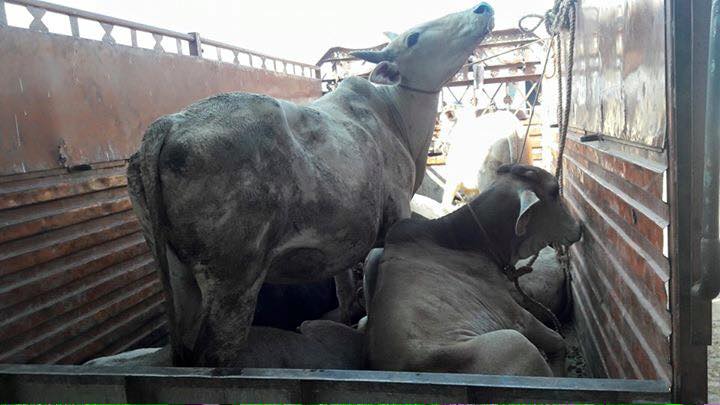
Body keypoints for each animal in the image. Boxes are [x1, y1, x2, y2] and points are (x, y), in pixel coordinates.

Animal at [126, 3, 495, 366]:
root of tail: (169, 124)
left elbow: (346, 291)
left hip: (179, 275)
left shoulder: (346, 241)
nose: (482, 9)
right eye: (413, 37)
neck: (397, 115)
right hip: (234, 281)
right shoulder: (398, 212)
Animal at [363, 164, 581, 376]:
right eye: (554, 192)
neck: (464, 240)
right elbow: (557, 340)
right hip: (515, 342)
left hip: (372, 256)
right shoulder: (513, 314)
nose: (579, 226)